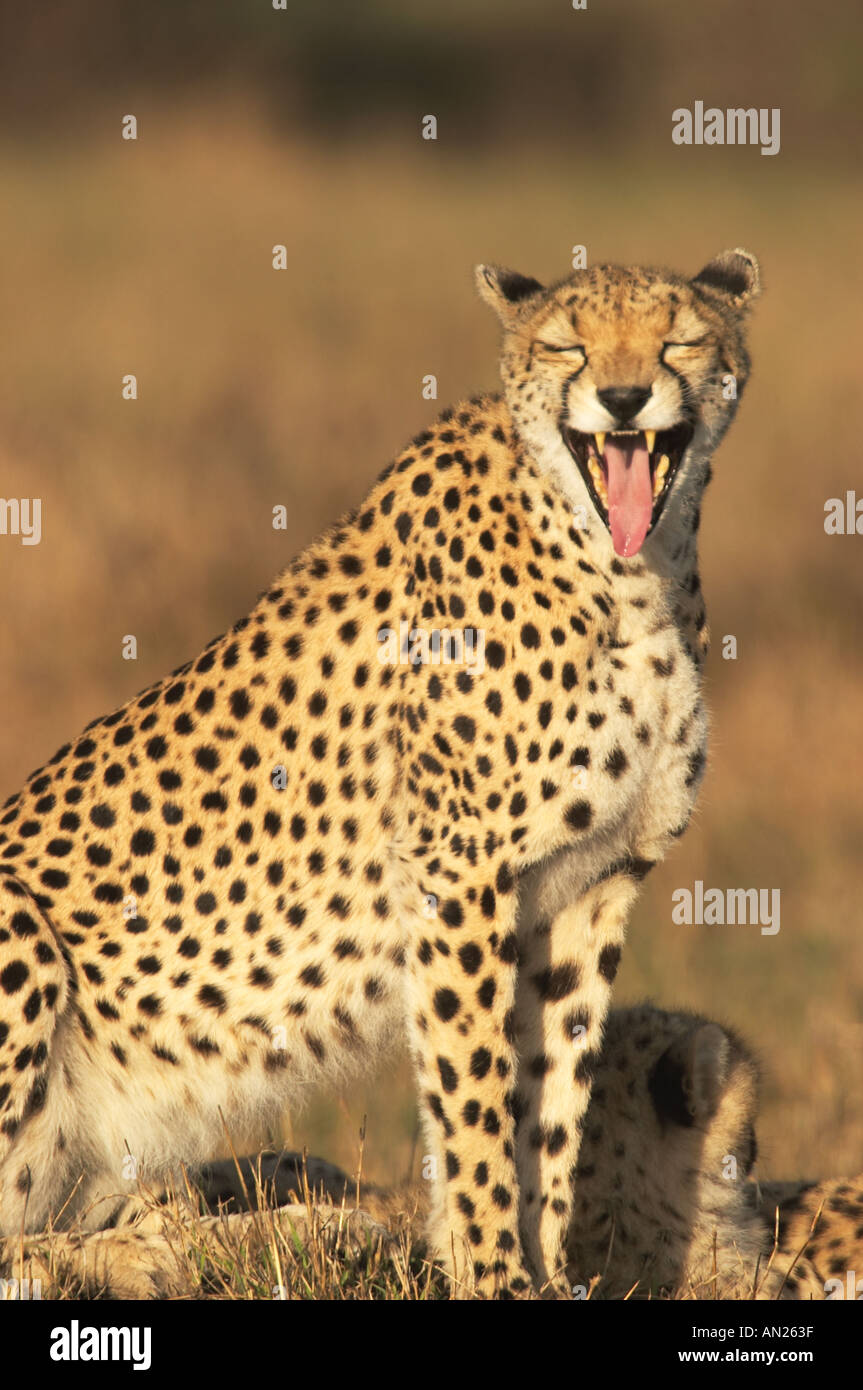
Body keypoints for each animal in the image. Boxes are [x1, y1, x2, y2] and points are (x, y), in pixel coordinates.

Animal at [0, 249, 760, 1297]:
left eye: (677, 340)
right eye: (567, 346)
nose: (620, 397)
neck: (631, 574)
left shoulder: (589, 886)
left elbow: (551, 1102)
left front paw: (536, 1268)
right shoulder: (458, 875)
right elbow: (477, 1101)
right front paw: (491, 1274)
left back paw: (281, 1232)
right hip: (20, 929)